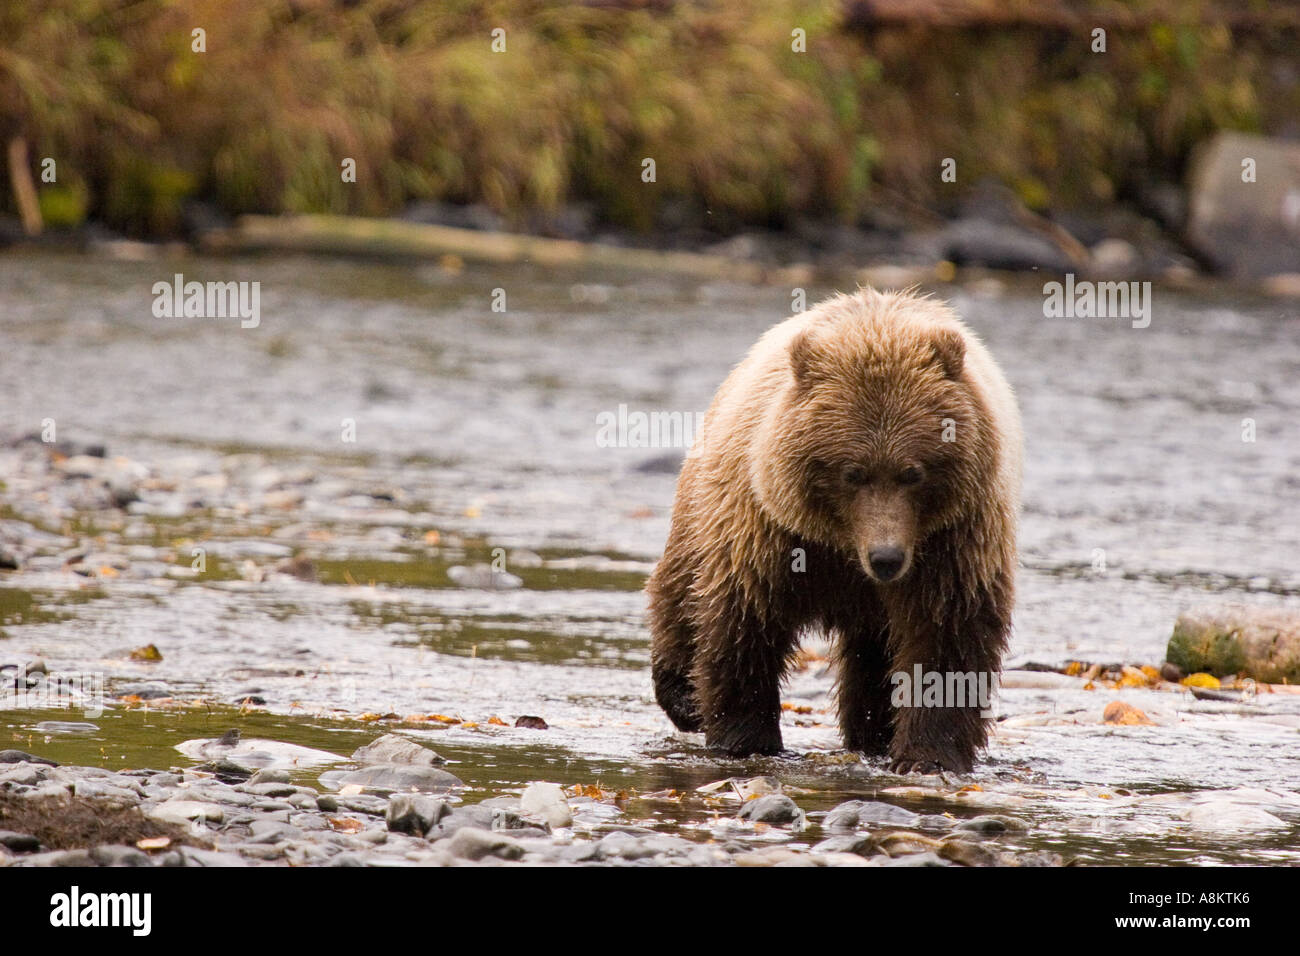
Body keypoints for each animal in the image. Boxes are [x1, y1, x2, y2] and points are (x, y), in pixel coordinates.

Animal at [646, 287, 1021, 773]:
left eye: (913, 473)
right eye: (852, 473)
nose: (886, 558)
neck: (844, 546)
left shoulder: (954, 541)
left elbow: (947, 638)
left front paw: (927, 756)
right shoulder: (771, 534)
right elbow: (745, 621)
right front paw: (746, 738)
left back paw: (872, 734)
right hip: (704, 502)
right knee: (682, 587)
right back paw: (682, 695)